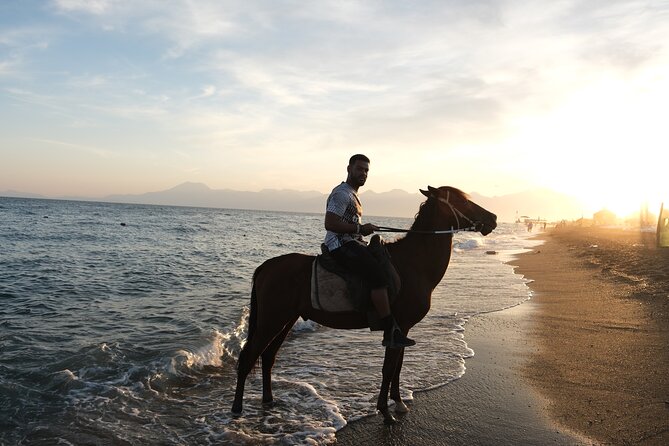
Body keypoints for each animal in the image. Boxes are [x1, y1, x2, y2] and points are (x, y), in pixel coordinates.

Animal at [231, 185, 497, 424]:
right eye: (462, 201)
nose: (493, 218)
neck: (413, 263)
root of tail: (267, 267)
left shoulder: (402, 330)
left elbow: (398, 366)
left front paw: (398, 402)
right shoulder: (398, 328)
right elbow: (389, 369)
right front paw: (385, 412)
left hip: (285, 319)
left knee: (268, 356)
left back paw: (268, 400)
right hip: (271, 319)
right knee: (249, 357)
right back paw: (236, 409)